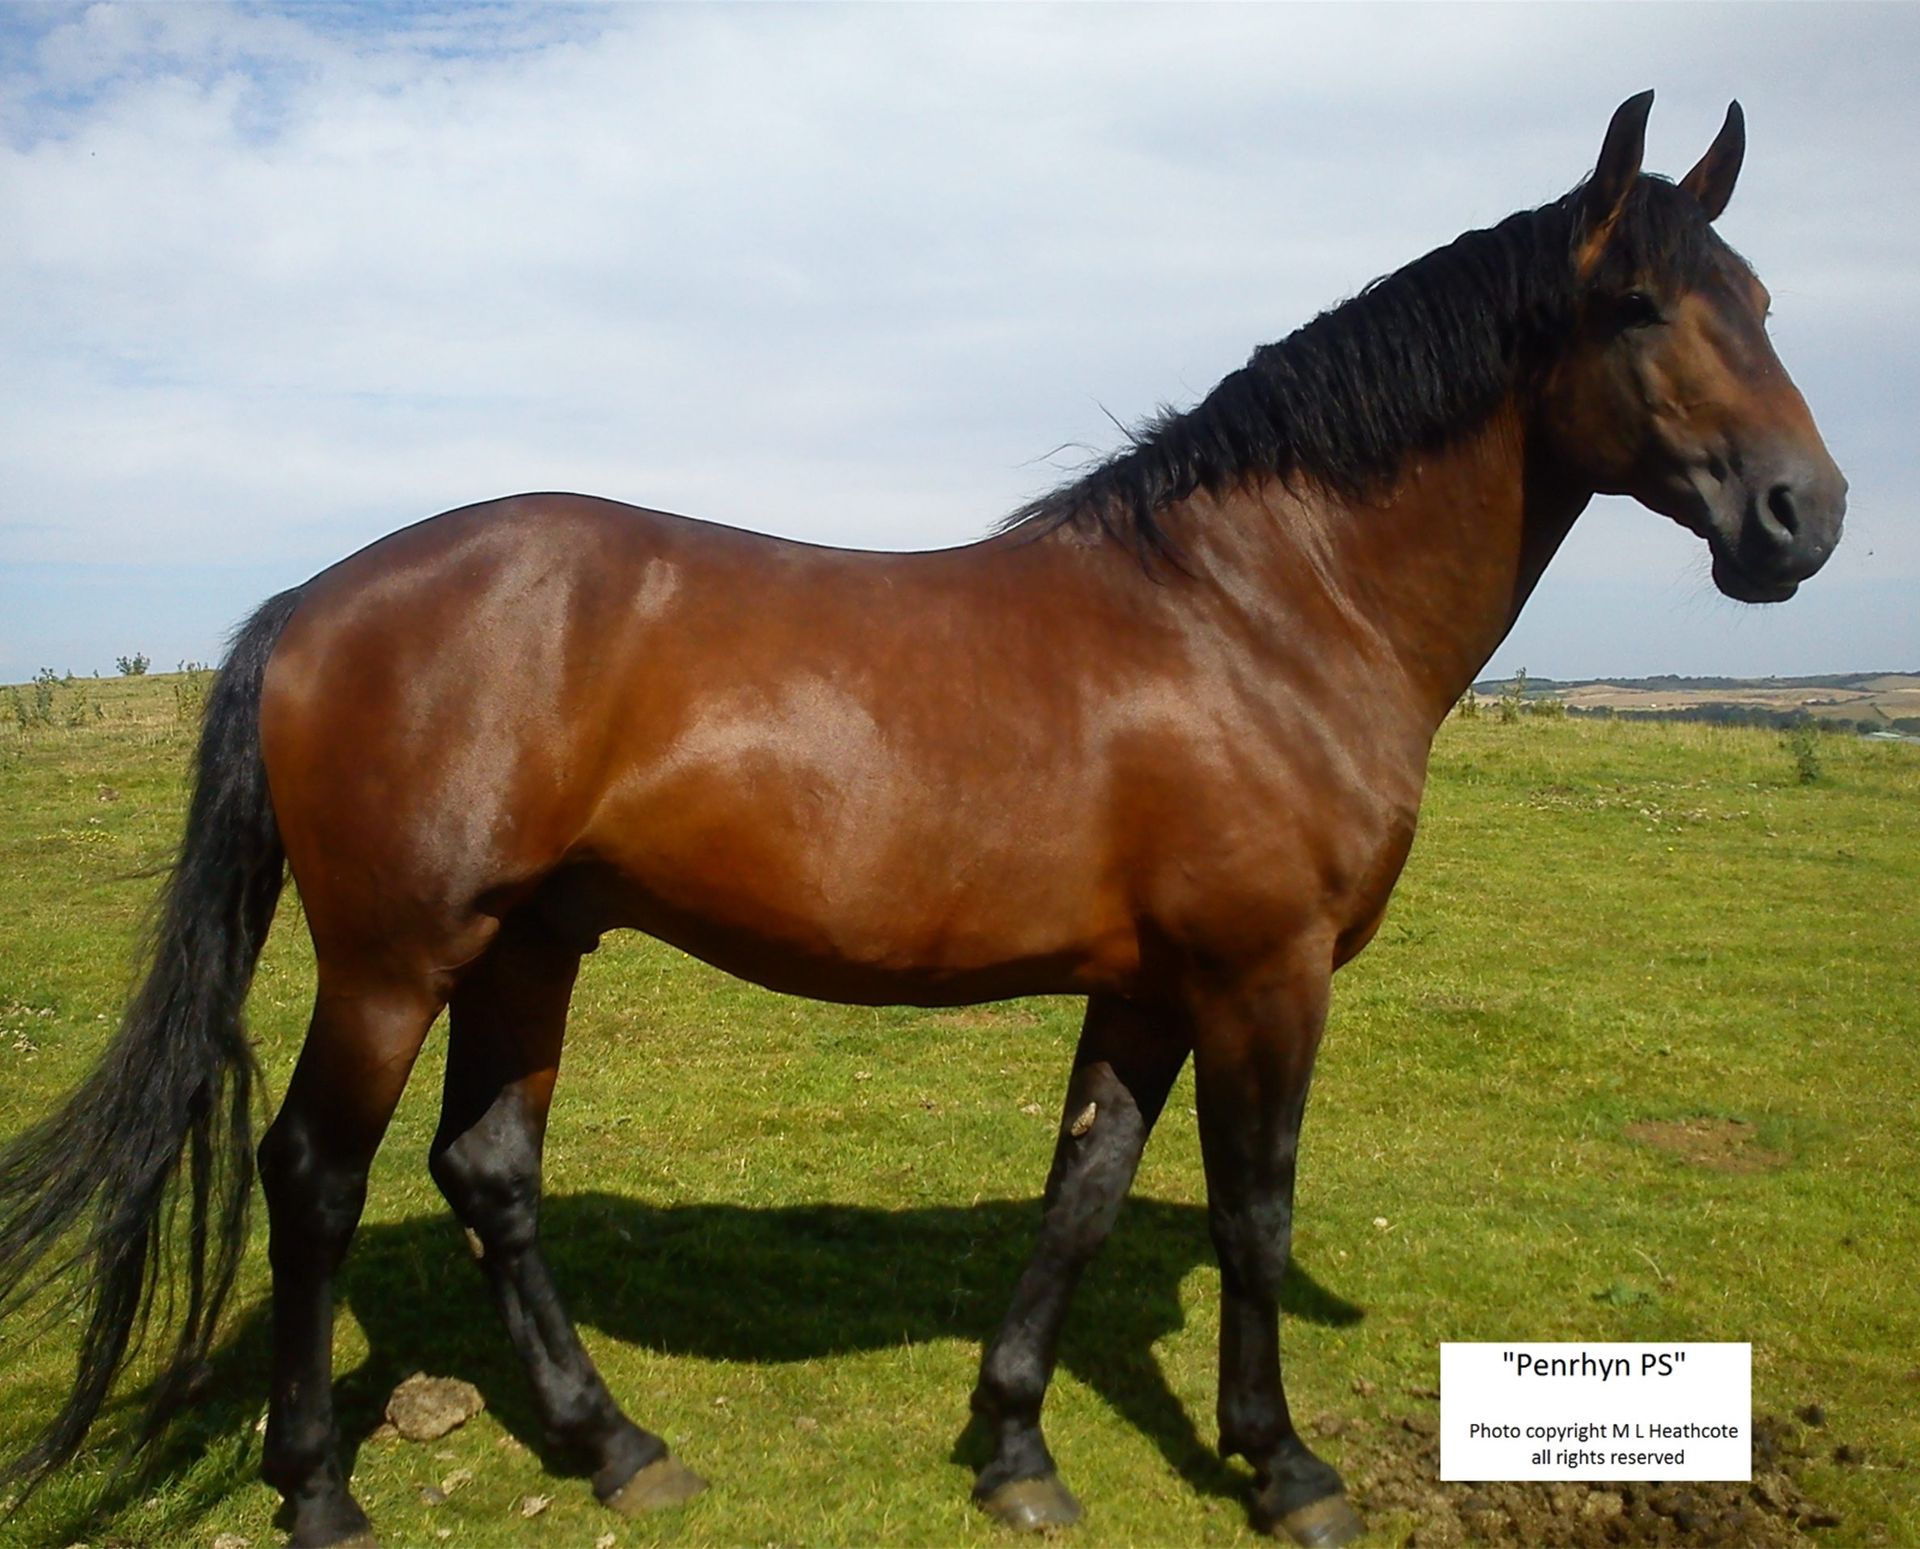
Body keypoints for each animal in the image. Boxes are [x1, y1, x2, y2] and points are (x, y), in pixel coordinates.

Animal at [0, 91, 1844, 1549]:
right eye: (1636, 303)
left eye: (1759, 297)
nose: (1803, 513)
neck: (1261, 610)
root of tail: (311, 602)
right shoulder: (1265, 972)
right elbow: (1254, 1211)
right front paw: (1284, 1464)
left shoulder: (1151, 982)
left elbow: (1083, 1190)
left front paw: (1017, 1447)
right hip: (396, 955)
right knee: (315, 1176)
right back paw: (320, 1486)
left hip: (532, 939)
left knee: (489, 1169)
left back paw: (618, 1444)